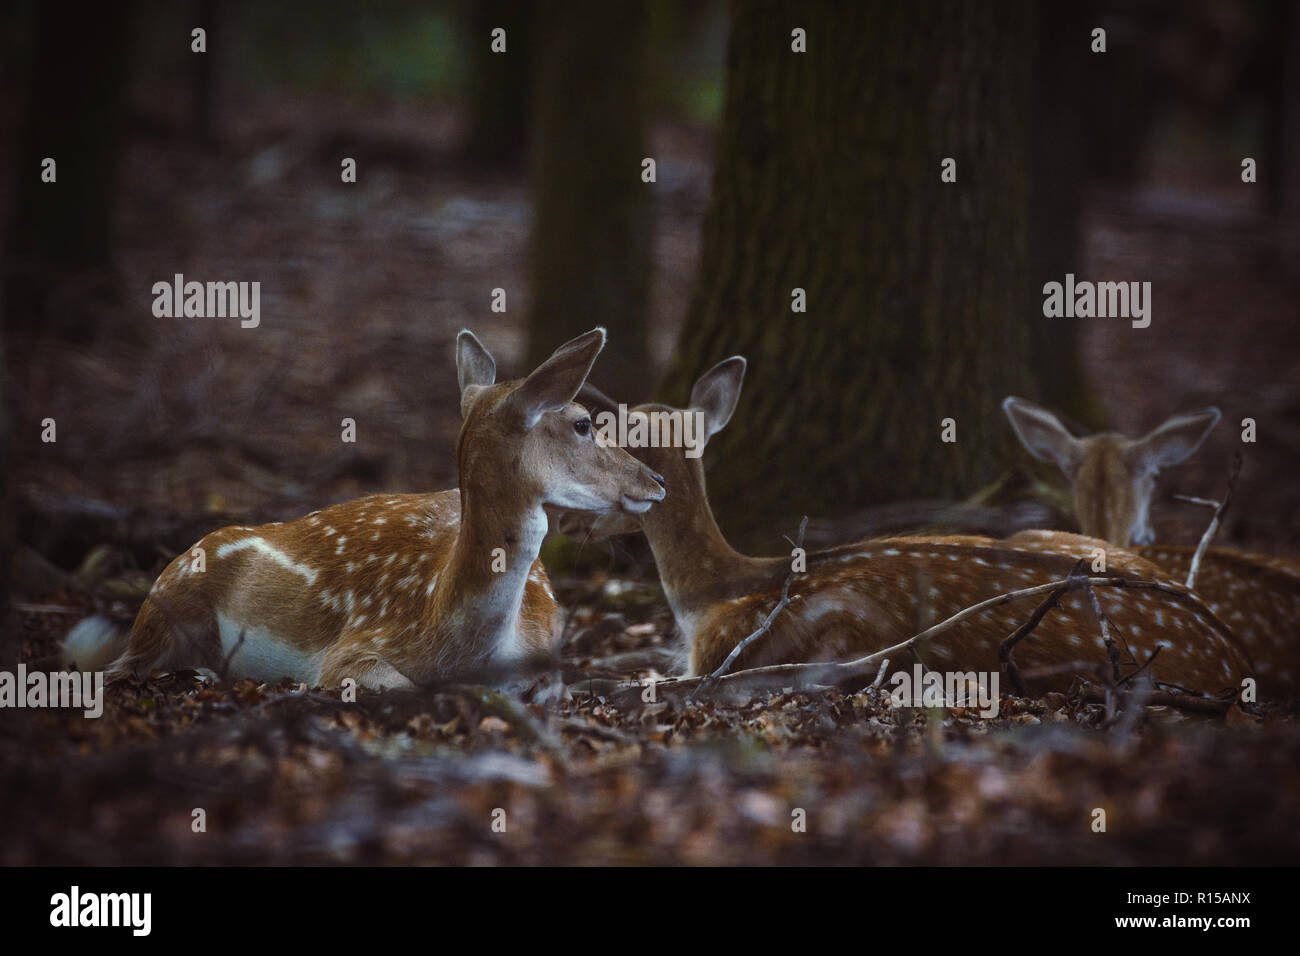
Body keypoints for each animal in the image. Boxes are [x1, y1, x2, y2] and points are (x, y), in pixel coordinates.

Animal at [63, 328, 667, 691]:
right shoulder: (352, 650)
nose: (657, 480)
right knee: (115, 665)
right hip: (168, 595)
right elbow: (392, 683)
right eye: (583, 424)